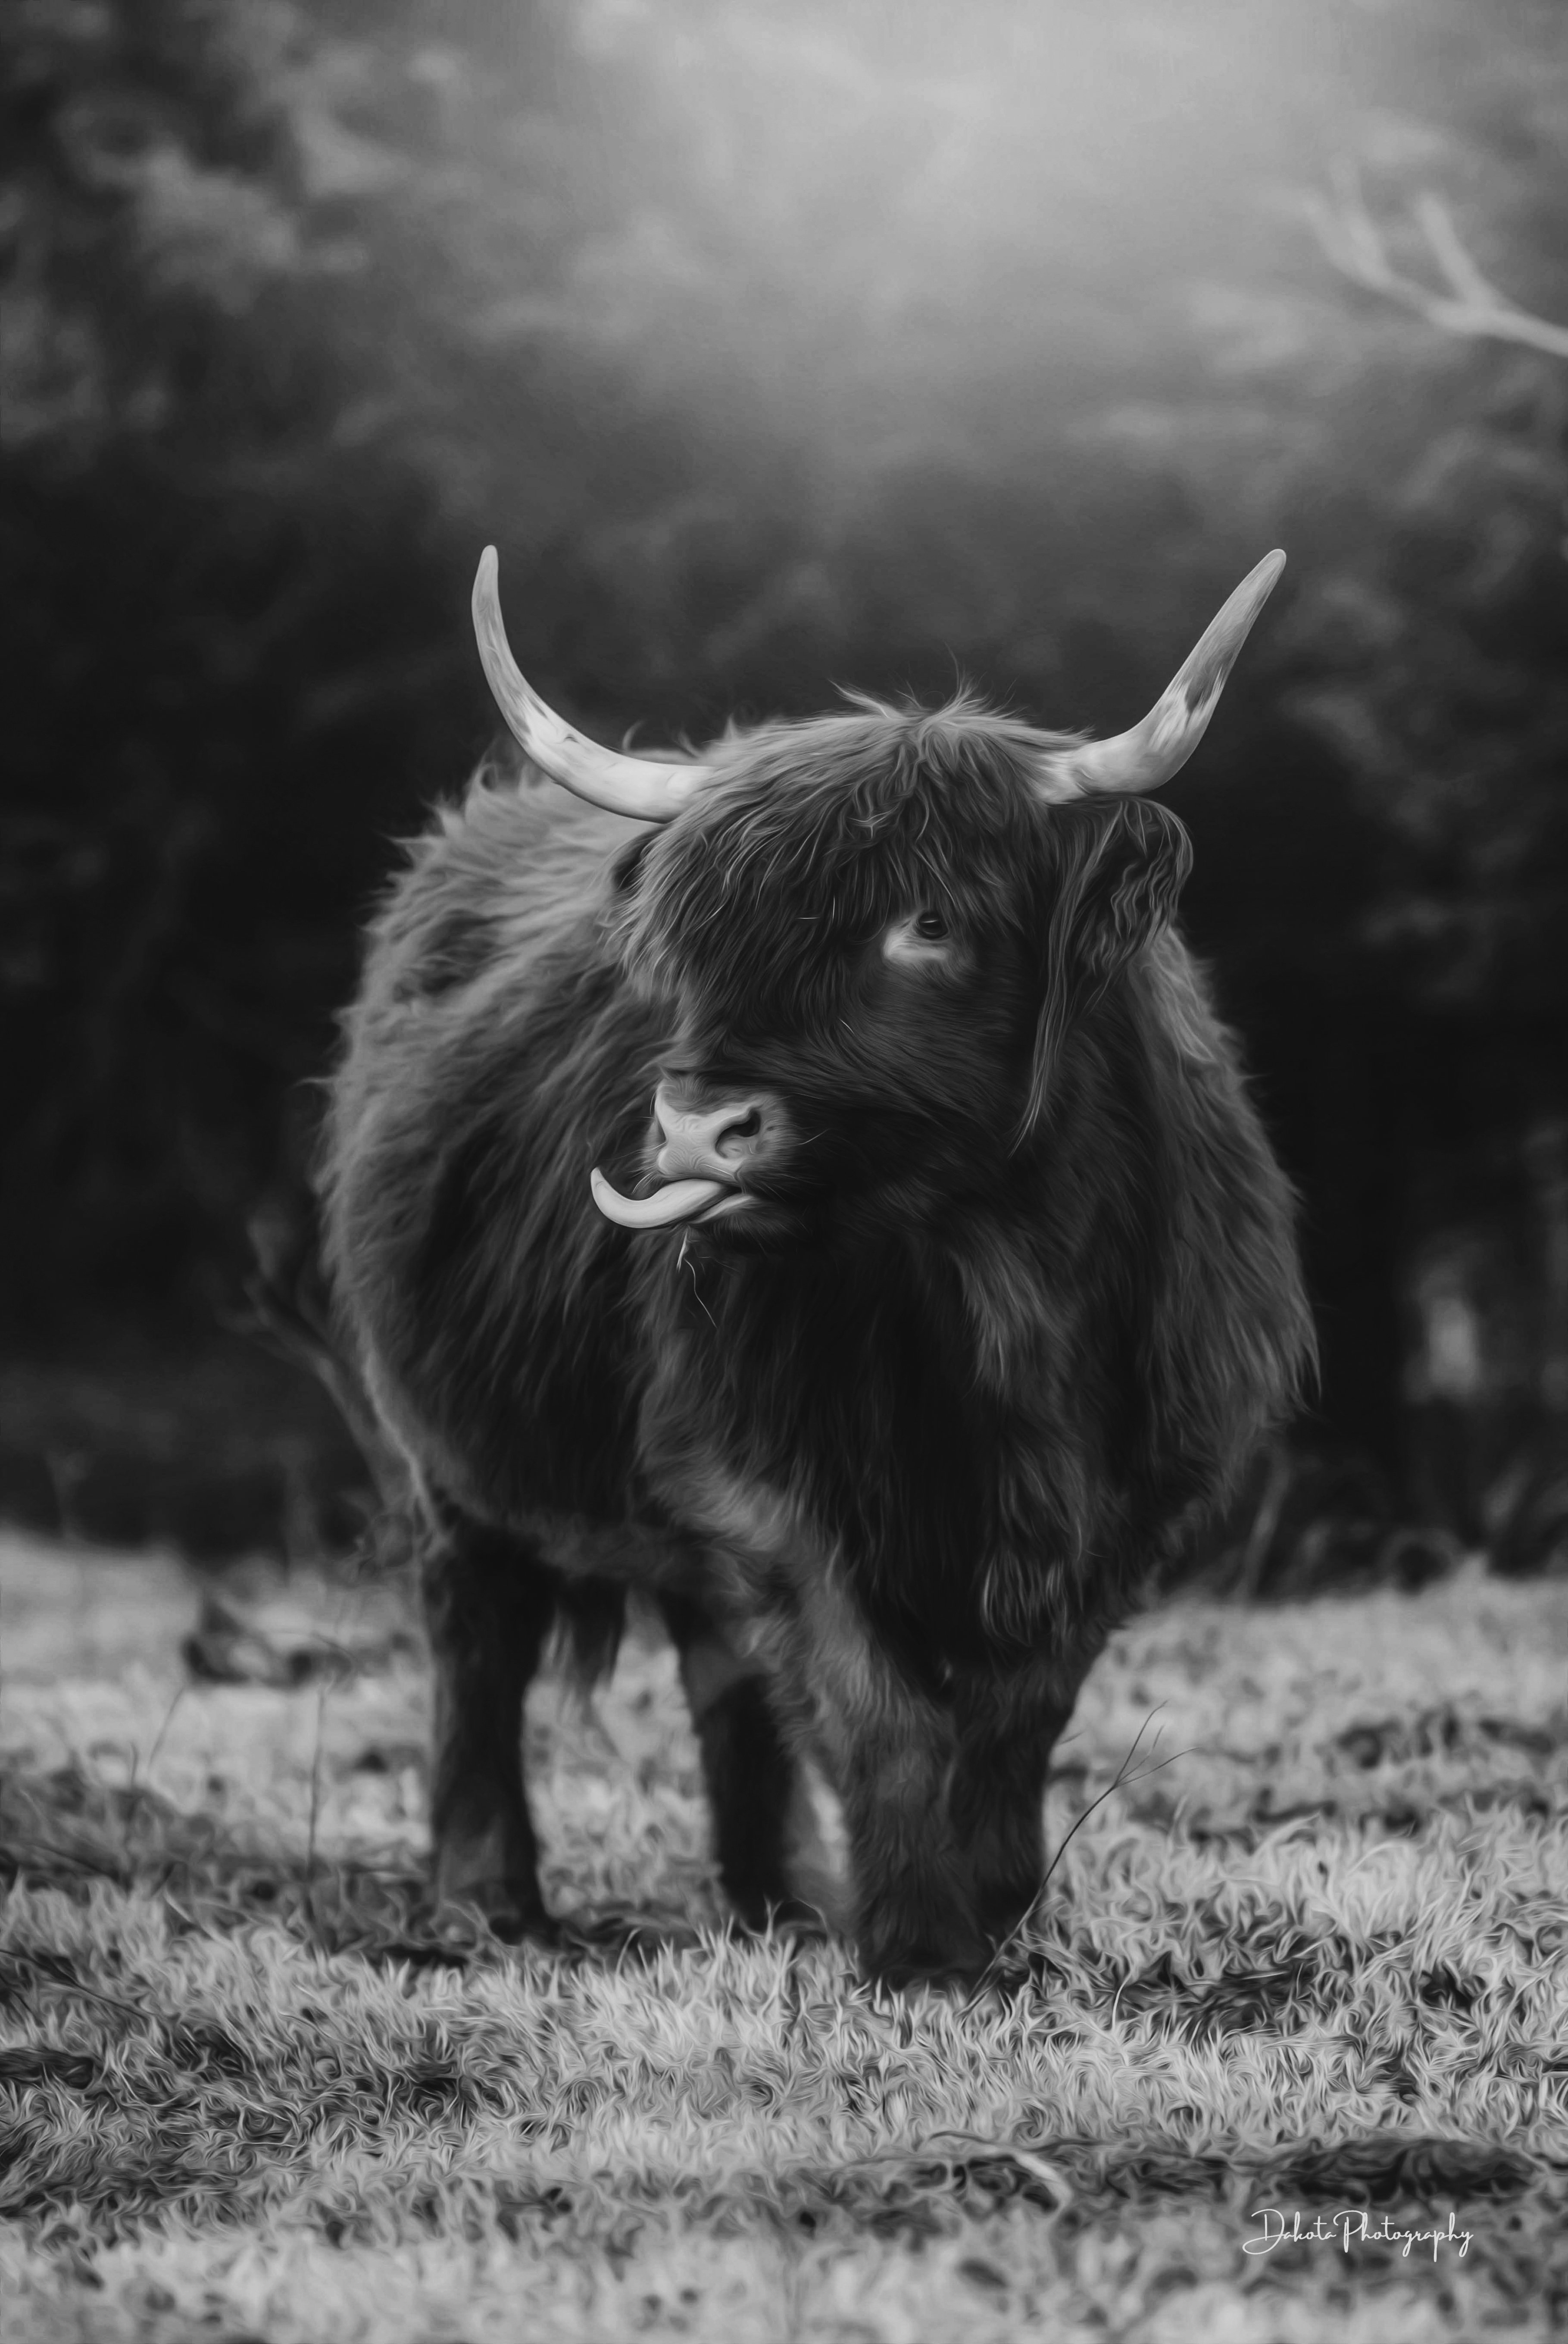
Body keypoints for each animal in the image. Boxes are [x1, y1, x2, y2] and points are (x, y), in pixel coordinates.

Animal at [320, 546, 1313, 1985]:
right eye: (694, 938)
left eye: (930, 918)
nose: (693, 1128)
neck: (990, 1288)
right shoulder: (751, 1465)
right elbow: (869, 1696)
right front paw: (915, 1940)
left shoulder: (1138, 1489)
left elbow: (1019, 1707)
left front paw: (996, 1909)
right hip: (445, 1448)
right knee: (479, 1635)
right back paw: (487, 1898)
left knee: (715, 1667)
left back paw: (775, 1893)